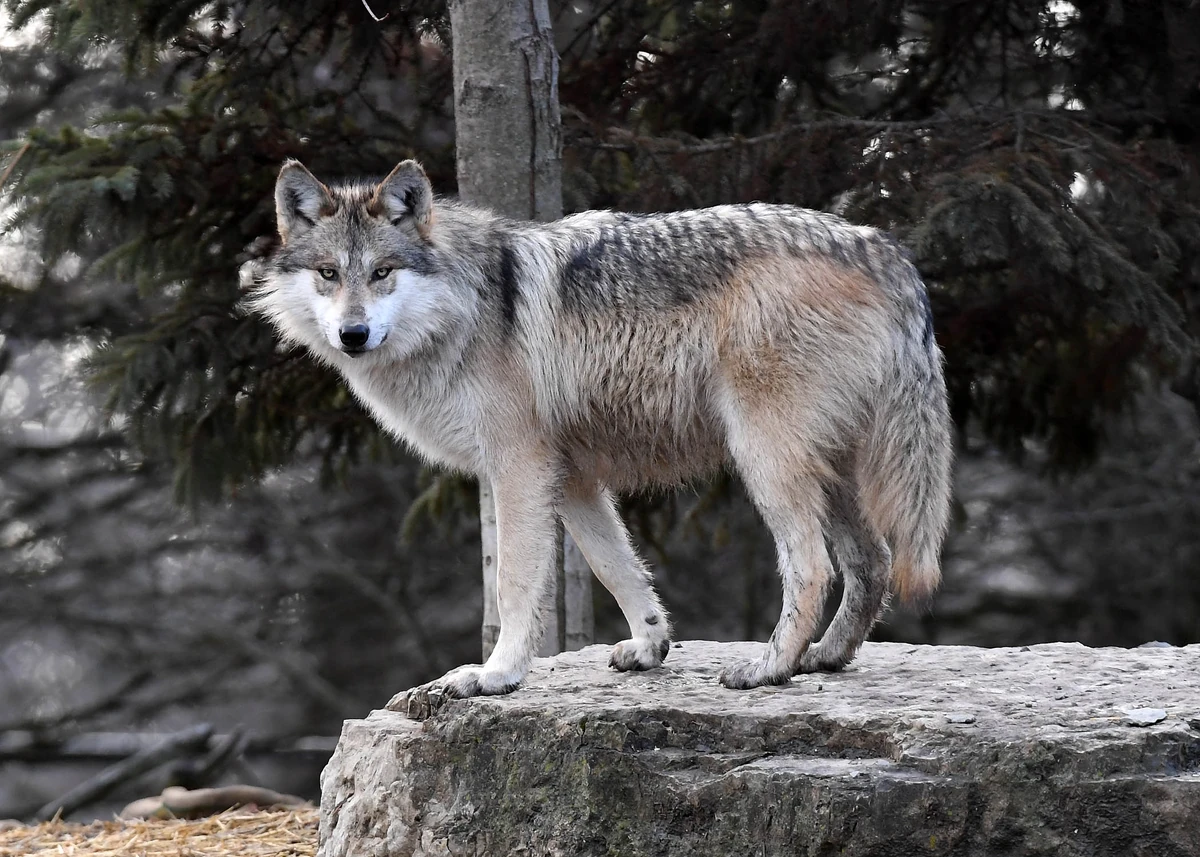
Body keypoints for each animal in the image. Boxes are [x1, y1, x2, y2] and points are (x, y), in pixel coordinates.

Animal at [247, 158, 953, 701]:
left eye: (382, 272)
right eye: (329, 273)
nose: (353, 333)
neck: (465, 309)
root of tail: (884, 249)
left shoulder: (519, 470)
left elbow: (514, 585)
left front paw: (496, 675)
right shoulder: (574, 479)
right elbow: (618, 570)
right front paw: (650, 646)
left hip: (766, 460)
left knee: (813, 567)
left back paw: (769, 667)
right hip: (829, 470)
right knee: (871, 561)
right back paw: (824, 658)